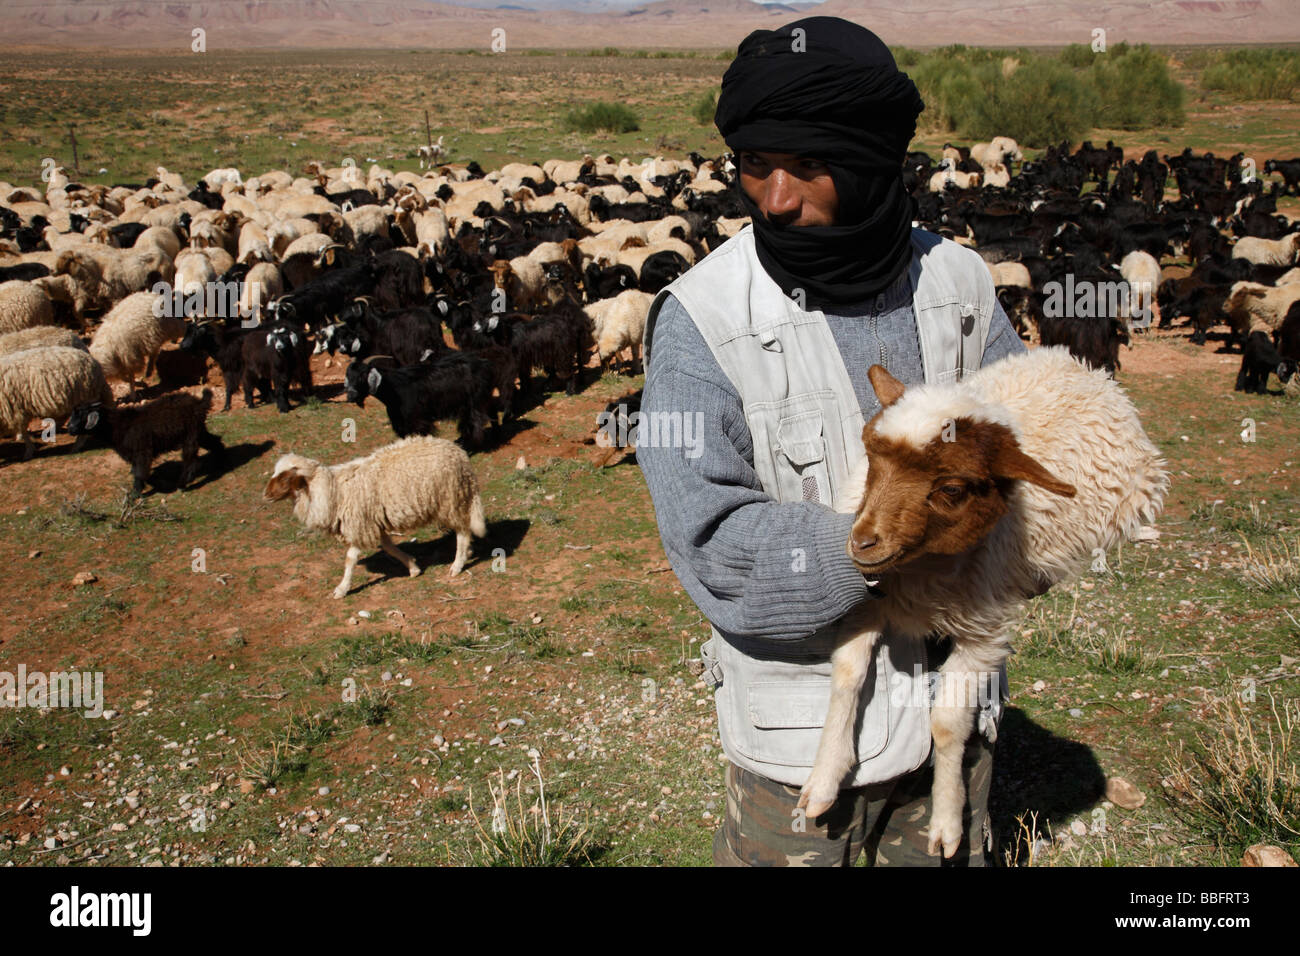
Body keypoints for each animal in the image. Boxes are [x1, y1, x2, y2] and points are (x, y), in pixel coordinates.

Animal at [65, 389, 225, 495]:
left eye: (81, 414)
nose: (70, 429)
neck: (119, 425)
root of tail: (200, 403)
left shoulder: (142, 451)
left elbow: (140, 472)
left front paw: (134, 495)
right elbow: (136, 469)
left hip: (190, 435)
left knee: (190, 460)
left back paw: (183, 483)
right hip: (199, 431)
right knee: (215, 442)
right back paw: (219, 463)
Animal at [264, 435, 487, 598]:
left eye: (284, 478)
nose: (265, 494)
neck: (334, 490)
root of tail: (458, 452)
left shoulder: (360, 524)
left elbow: (350, 559)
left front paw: (341, 589)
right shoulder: (374, 523)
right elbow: (389, 547)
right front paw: (413, 567)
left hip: (449, 499)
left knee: (463, 531)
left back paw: (457, 564)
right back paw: (468, 552)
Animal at [796, 348, 1168, 857]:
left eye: (952, 489)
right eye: (871, 457)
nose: (862, 543)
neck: (923, 569)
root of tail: (1079, 366)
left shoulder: (985, 634)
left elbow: (948, 724)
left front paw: (947, 821)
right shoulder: (865, 600)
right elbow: (847, 678)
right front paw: (824, 779)